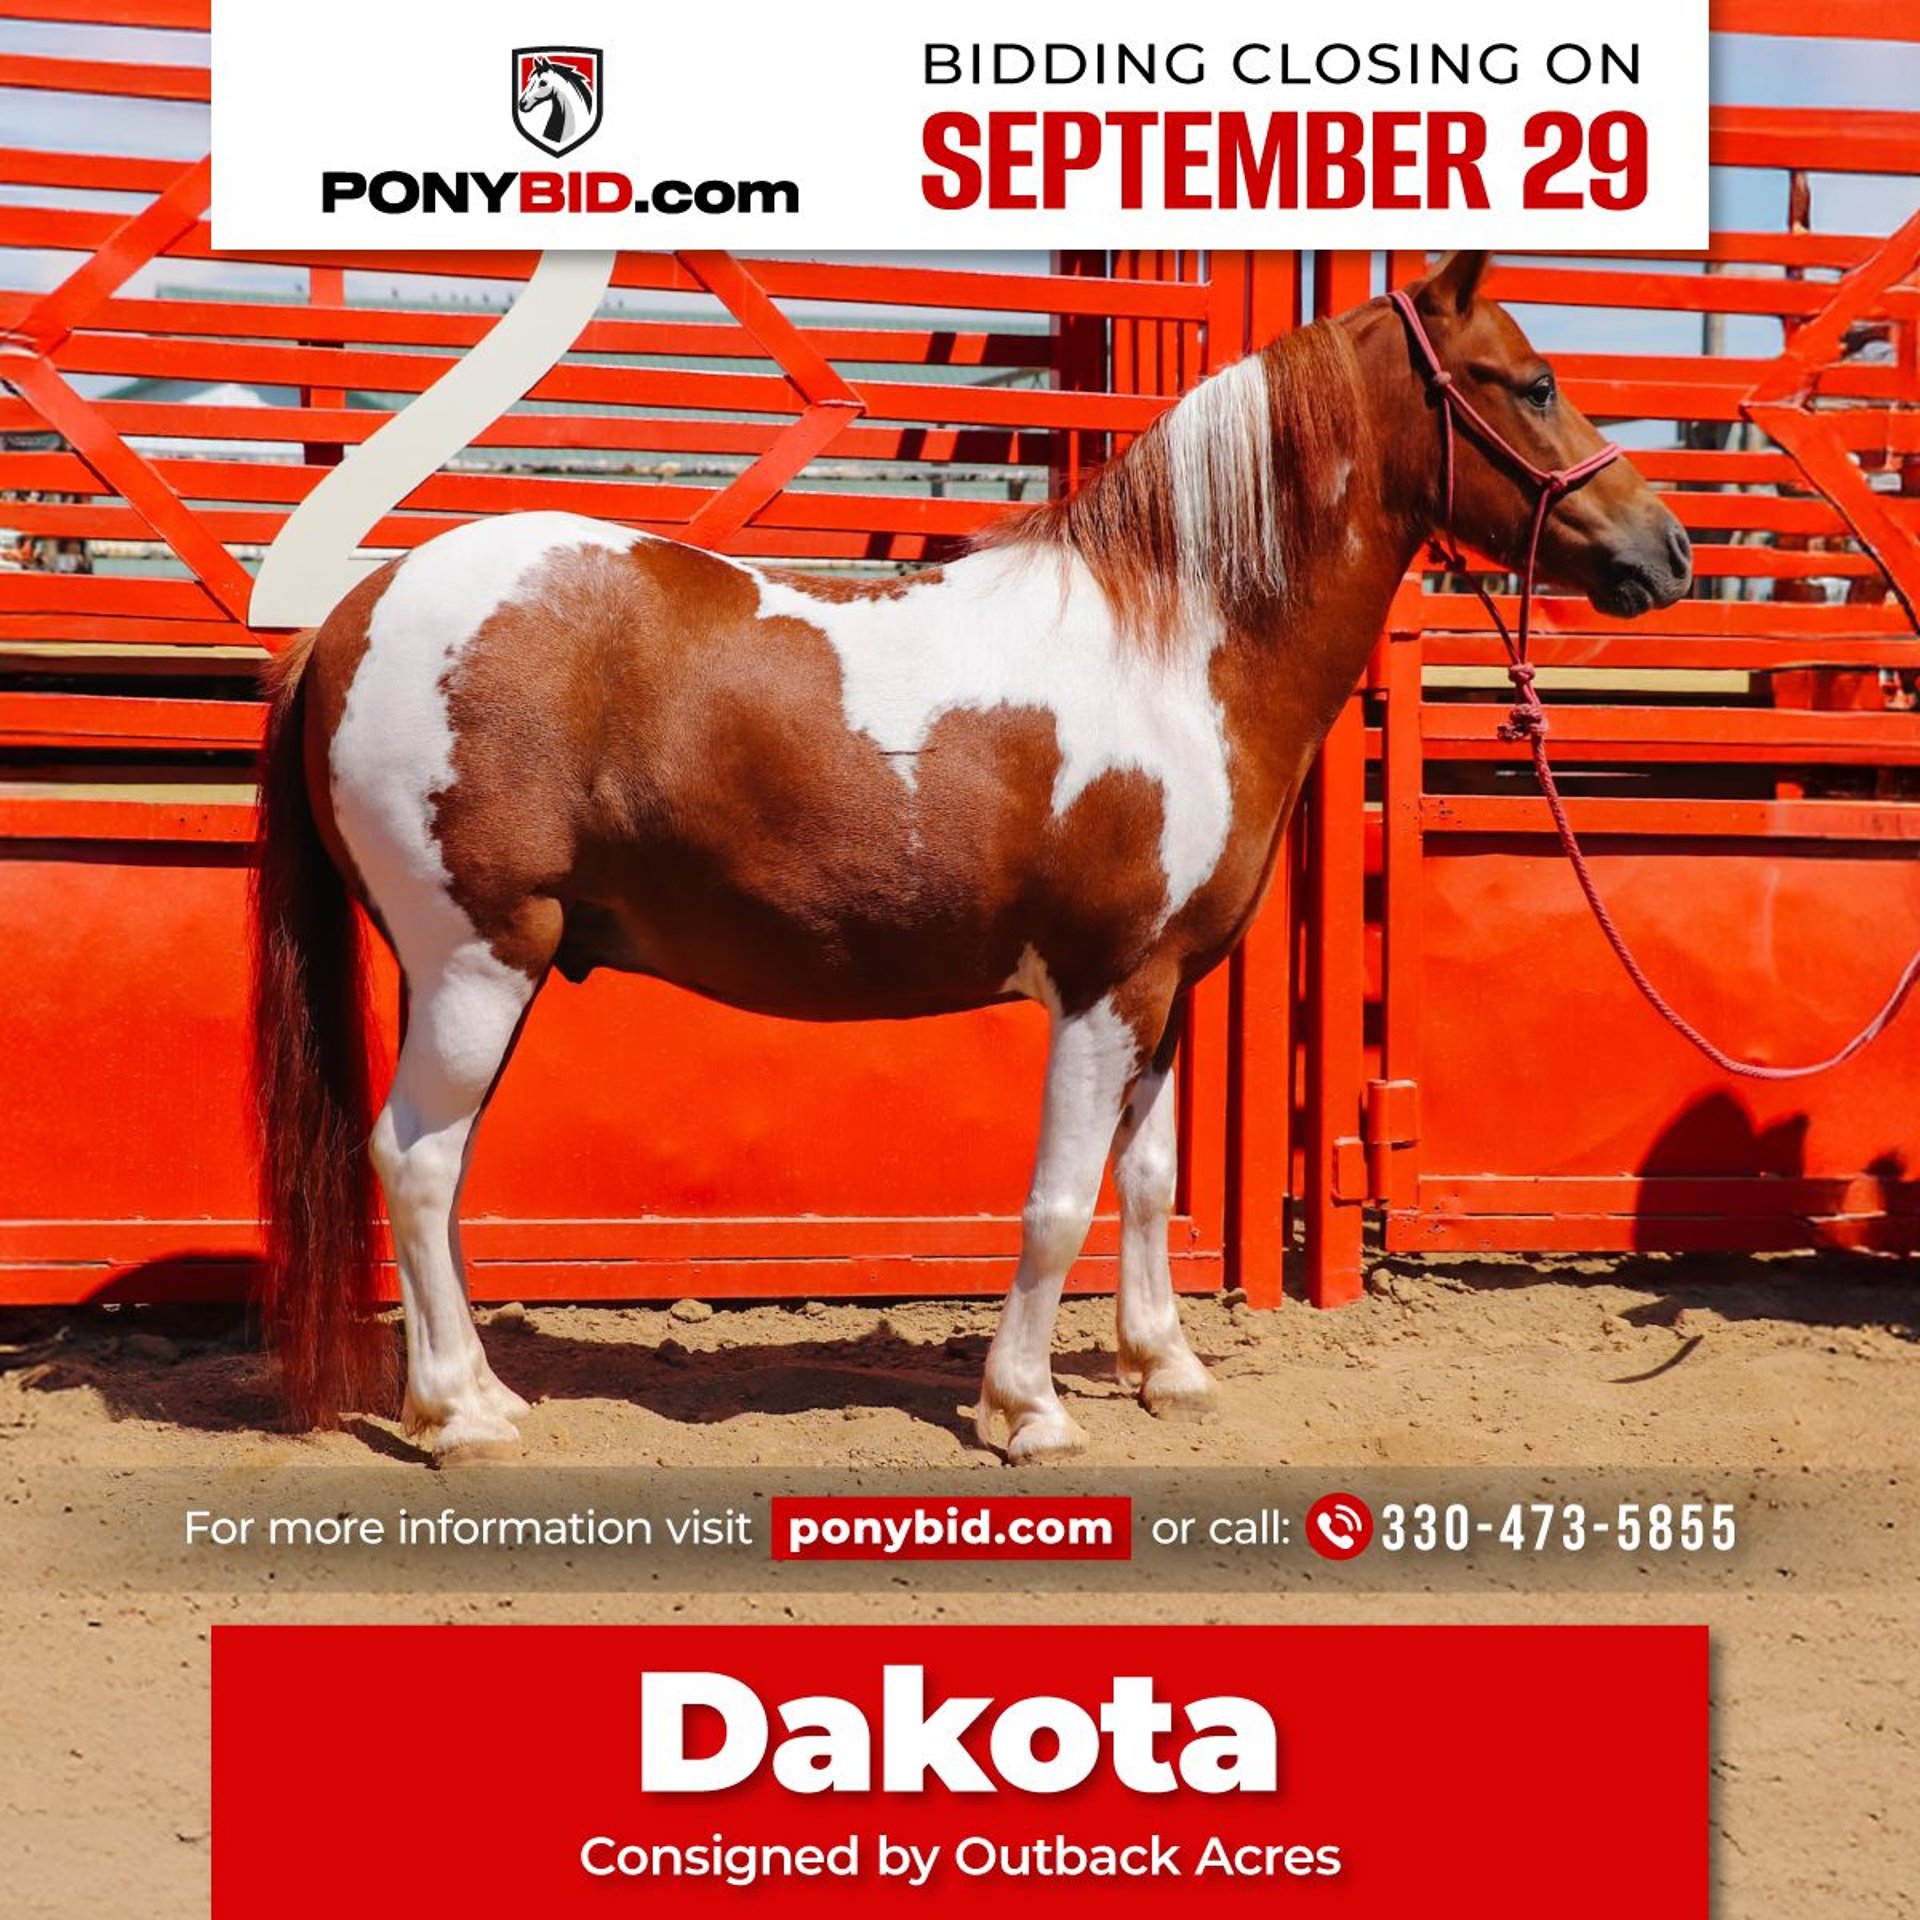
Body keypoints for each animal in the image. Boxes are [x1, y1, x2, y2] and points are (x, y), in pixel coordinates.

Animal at [251, 250, 1692, 1463]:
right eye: (1531, 382)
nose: (1666, 551)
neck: (1176, 649)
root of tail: (354, 612)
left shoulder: (1163, 992)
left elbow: (1147, 1181)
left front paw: (1165, 1368)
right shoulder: (1102, 989)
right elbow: (1057, 1202)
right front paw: (1028, 1409)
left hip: (487, 974)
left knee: (441, 1168)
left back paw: (489, 1394)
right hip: (478, 963)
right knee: (416, 1160)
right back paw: (457, 1419)